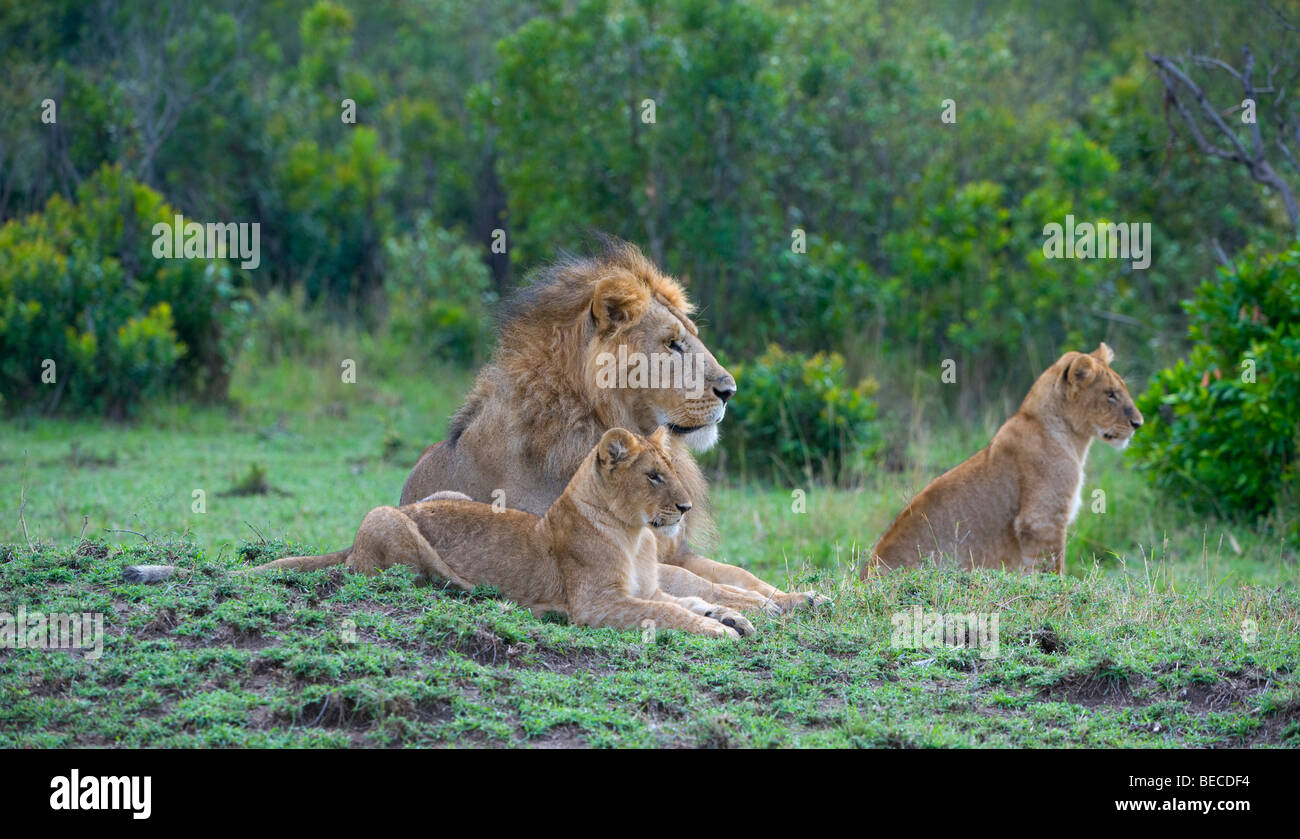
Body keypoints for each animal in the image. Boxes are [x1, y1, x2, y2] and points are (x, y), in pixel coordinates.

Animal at [125, 428, 756, 638]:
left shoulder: (646, 586)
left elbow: (685, 598)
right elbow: (669, 612)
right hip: (388, 519)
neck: (639, 535)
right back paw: (471, 590)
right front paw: (718, 632)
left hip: (446, 498)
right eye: (653, 475)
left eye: (673, 470)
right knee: (403, 574)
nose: (684, 505)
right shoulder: (597, 605)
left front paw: (732, 617)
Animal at [400, 236, 826, 614]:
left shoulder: (673, 547)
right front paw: (761, 606)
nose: (730, 391)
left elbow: (736, 572)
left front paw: (799, 597)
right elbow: (697, 581)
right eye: (672, 344)